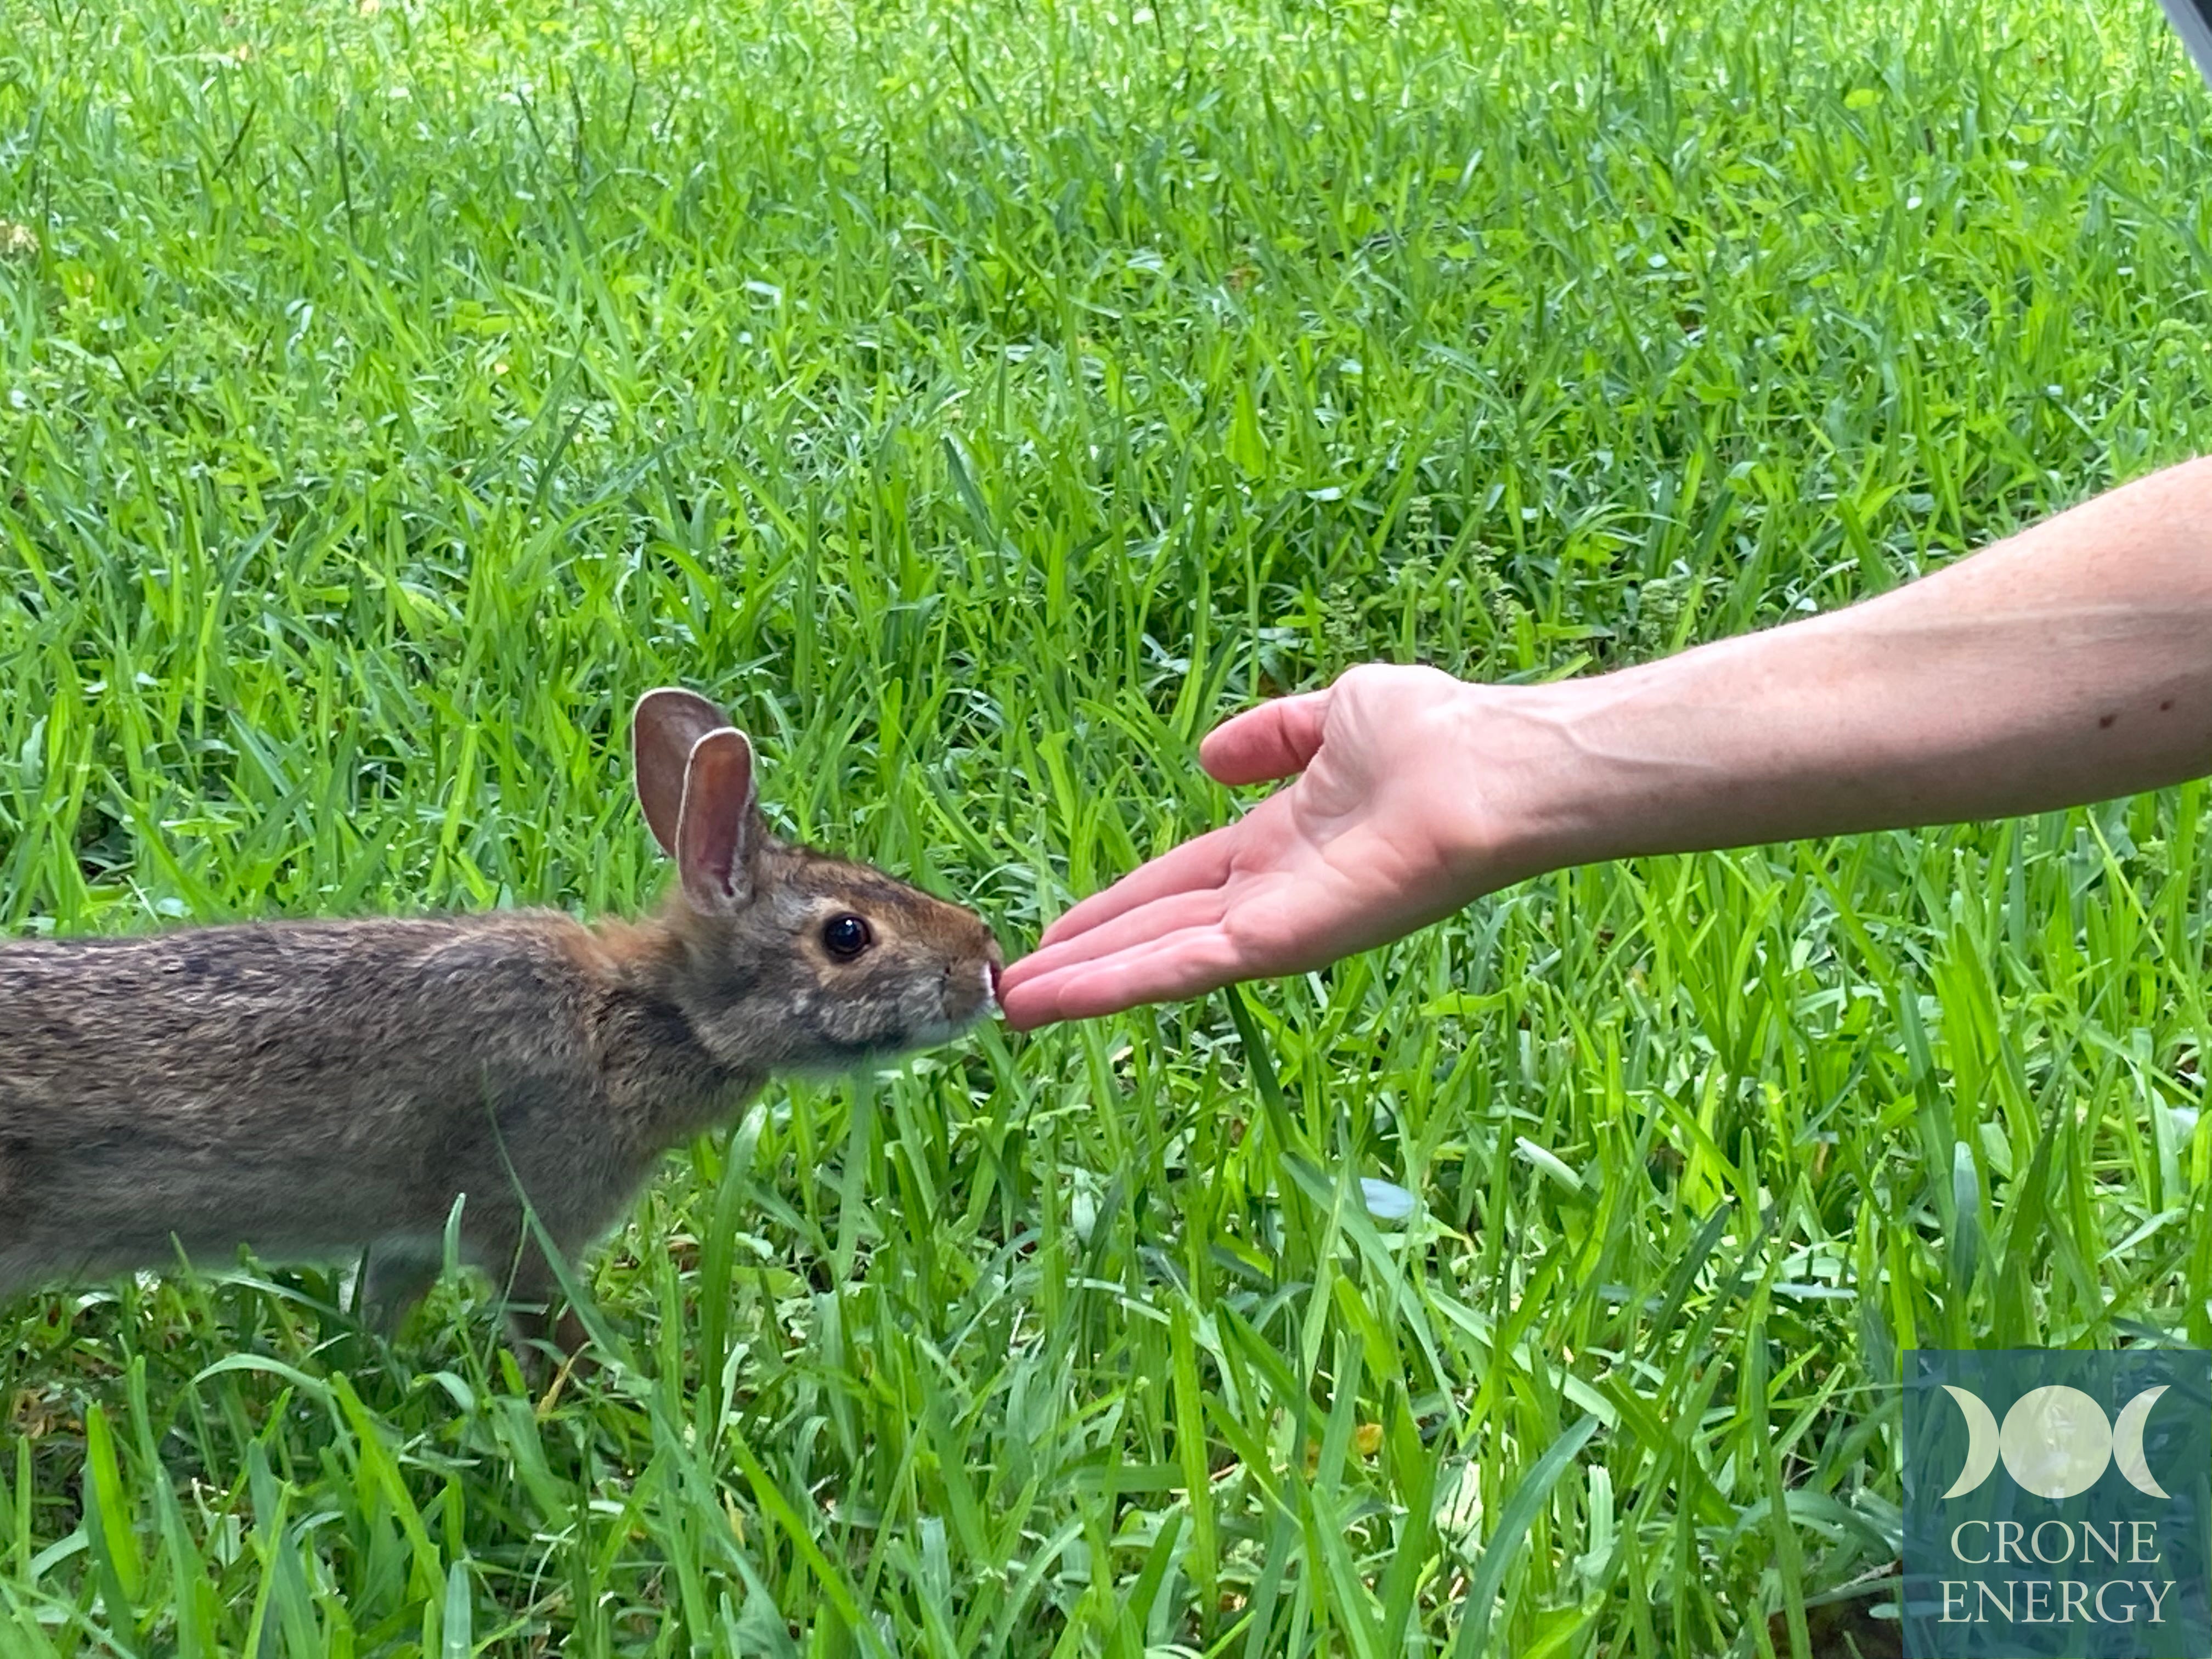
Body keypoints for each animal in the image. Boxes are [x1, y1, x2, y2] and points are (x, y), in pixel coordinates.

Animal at [0, 689, 1002, 1360]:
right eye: (847, 935)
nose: (984, 961)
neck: (647, 1017)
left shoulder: (410, 1239)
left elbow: (382, 1303)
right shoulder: (529, 1220)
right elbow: (541, 1320)